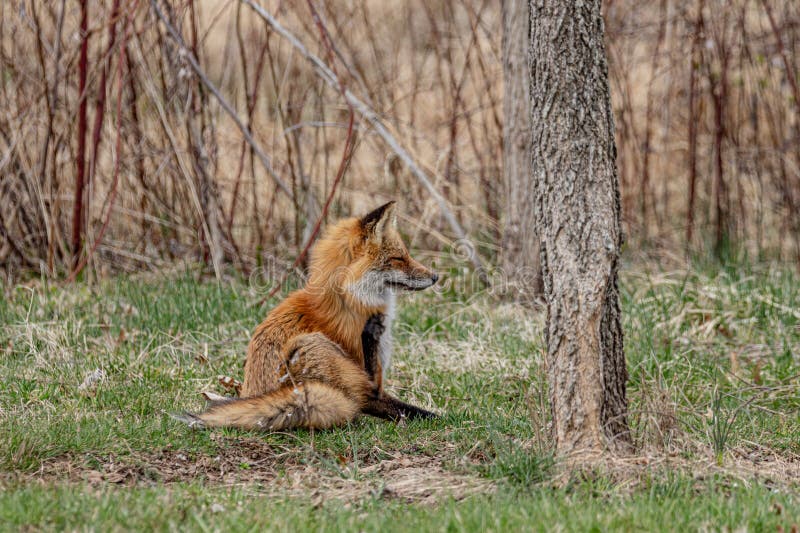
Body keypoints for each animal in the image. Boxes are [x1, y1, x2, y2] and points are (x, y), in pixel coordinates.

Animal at [177, 201, 440, 431]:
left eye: (406, 255)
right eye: (398, 258)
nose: (436, 276)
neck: (348, 297)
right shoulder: (370, 378)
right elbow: (383, 398)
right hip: (310, 345)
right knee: (361, 400)